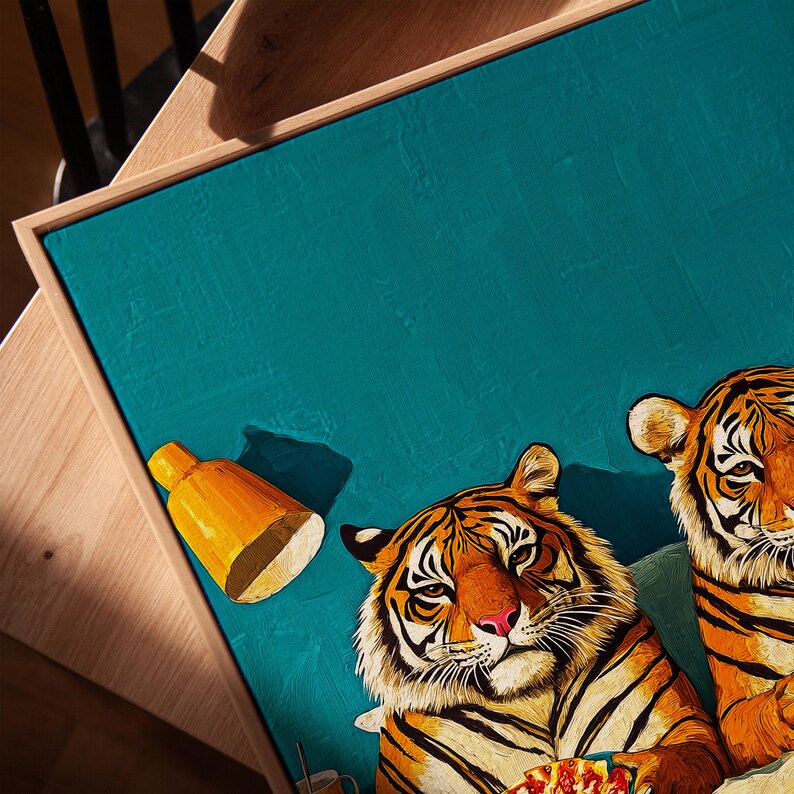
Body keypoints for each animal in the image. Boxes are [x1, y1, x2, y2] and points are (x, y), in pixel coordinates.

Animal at [342, 443, 726, 794]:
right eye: (435, 590)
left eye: (520, 555)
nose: (500, 620)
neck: (531, 700)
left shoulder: (686, 730)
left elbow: (675, 761)